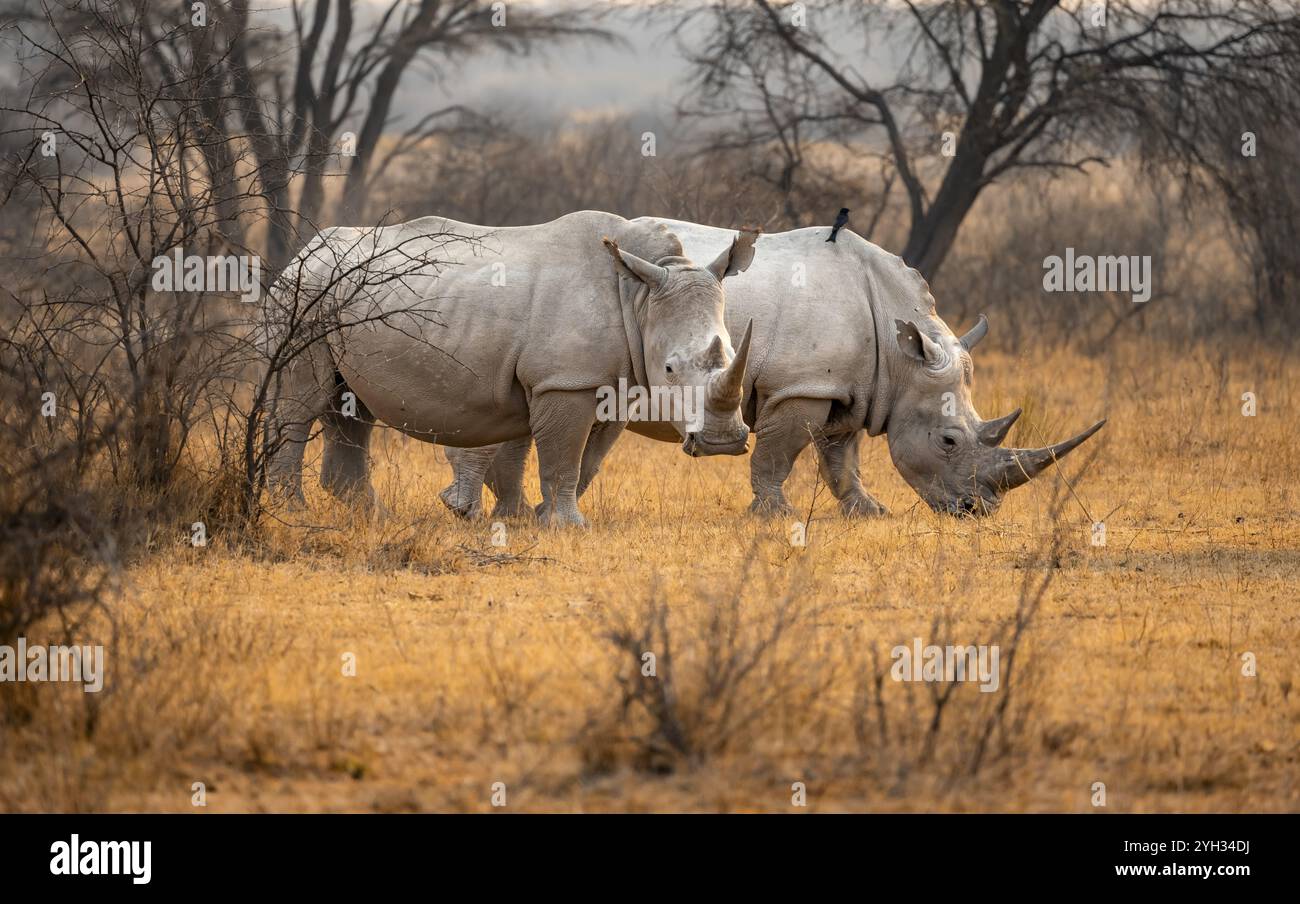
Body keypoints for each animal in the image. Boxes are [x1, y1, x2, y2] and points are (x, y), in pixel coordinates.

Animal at [263, 211, 758, 526]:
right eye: (670, 368)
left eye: (734, 353)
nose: (721, 443)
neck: (639, 294)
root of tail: (303, 252)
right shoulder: (564, 382)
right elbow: (563, 456)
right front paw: (566, 526)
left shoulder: (599, 379)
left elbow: (567, 456)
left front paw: (522, 517)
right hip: (301, 296)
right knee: (301, 402)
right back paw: (294, 513)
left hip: (331, 297)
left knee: (351, 407)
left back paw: (374, 518)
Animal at [440, 218, 1105, 519]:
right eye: (948, 441)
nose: (977, 511)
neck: (901, 351)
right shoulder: (800, 386)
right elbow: (780, 454)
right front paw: (773, 515)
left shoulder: (848, 387)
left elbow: (841, 457)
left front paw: (868, 512)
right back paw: (468, 511)